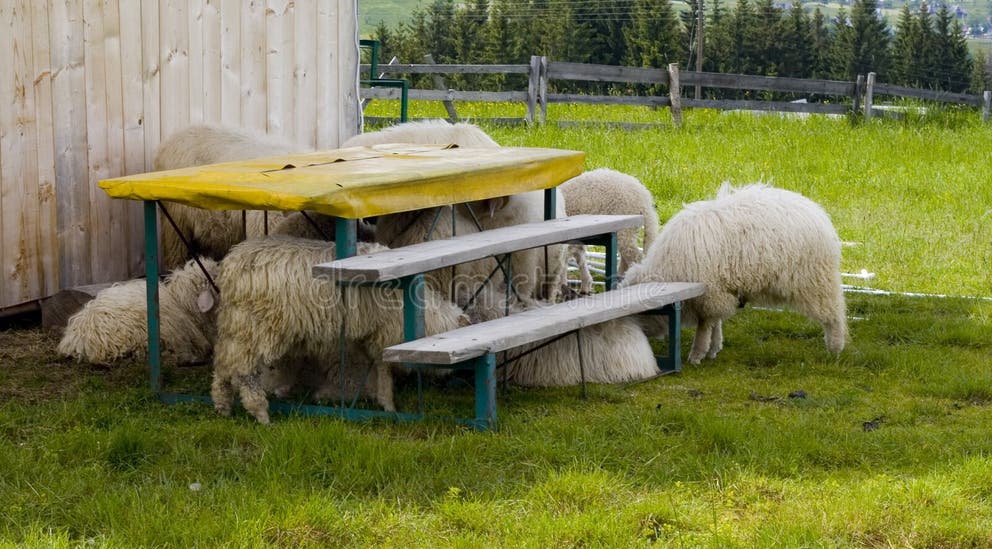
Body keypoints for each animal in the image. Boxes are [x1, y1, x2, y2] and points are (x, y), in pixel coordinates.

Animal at [209, 236, 469, 424]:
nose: (450, 375)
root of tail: (231, 265)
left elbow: (372, 365)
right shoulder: (382, 333)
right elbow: (383, 369)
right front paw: (388, 404)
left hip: (235, 324)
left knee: (223, 364)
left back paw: (222, 406)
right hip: (257, 326)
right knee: (245, 371)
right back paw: (260, 413)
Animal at [621, 182, 847, 364]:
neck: (667, 268)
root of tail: (818, 213)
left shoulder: (708, 292)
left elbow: (704, 326)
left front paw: (697, 354)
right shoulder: (718, 290)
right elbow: (715, 322)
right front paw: (714, 348)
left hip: (814, 280)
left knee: (834, 314)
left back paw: (835, 348)